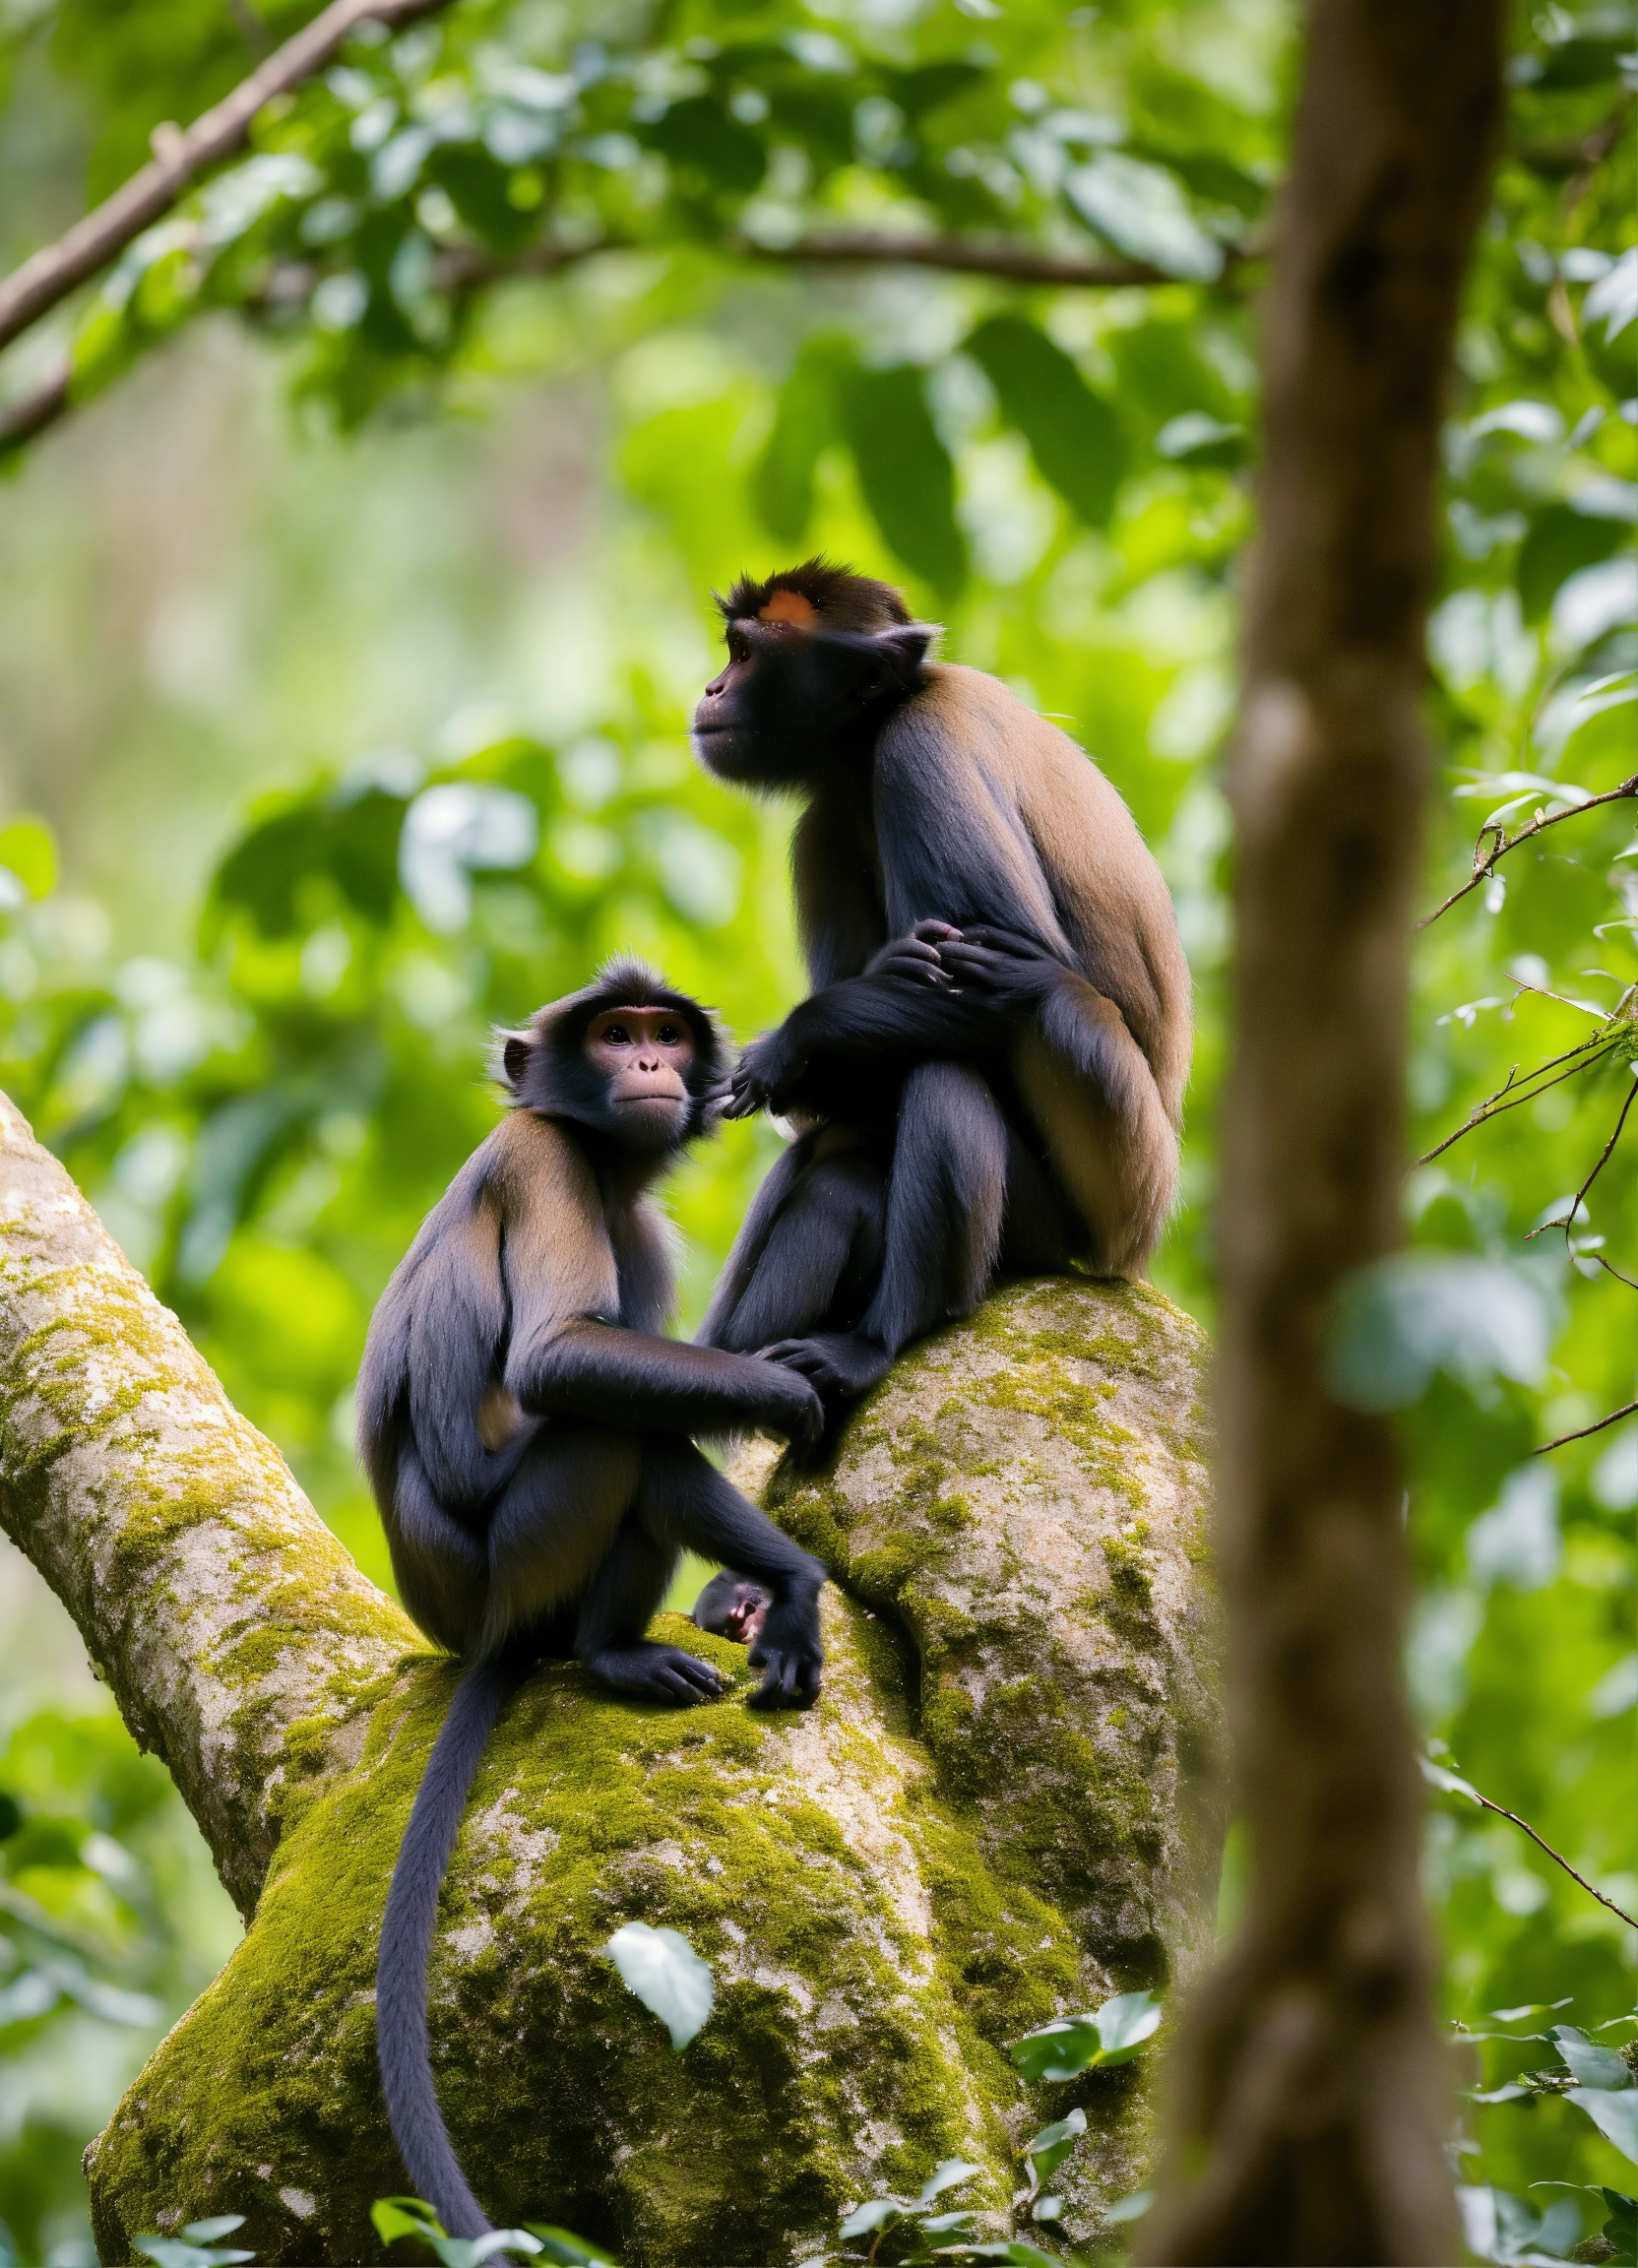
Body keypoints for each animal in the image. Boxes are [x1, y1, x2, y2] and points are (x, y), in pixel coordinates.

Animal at [356, 957, 827, 2238]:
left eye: (661, 1032)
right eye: (616, 1036)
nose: (653, 1063)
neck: (607, 1163)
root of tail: (468, 1631)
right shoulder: (544, 1160)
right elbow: (564, 1356)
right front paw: (784, 1419)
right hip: (522, 1554)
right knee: (611, 1425)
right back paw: (614, 1653)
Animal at [690, 558, 1192, 1407]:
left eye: (747, 655)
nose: (712, 689)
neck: (867, 738)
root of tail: (1134, 1245)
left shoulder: (919, 746)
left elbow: (989, 974)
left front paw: (789, 1039)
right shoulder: (824, 822)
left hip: (1107, 1176)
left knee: (983, 1040)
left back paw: (875, 1343)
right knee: (845, 1140)